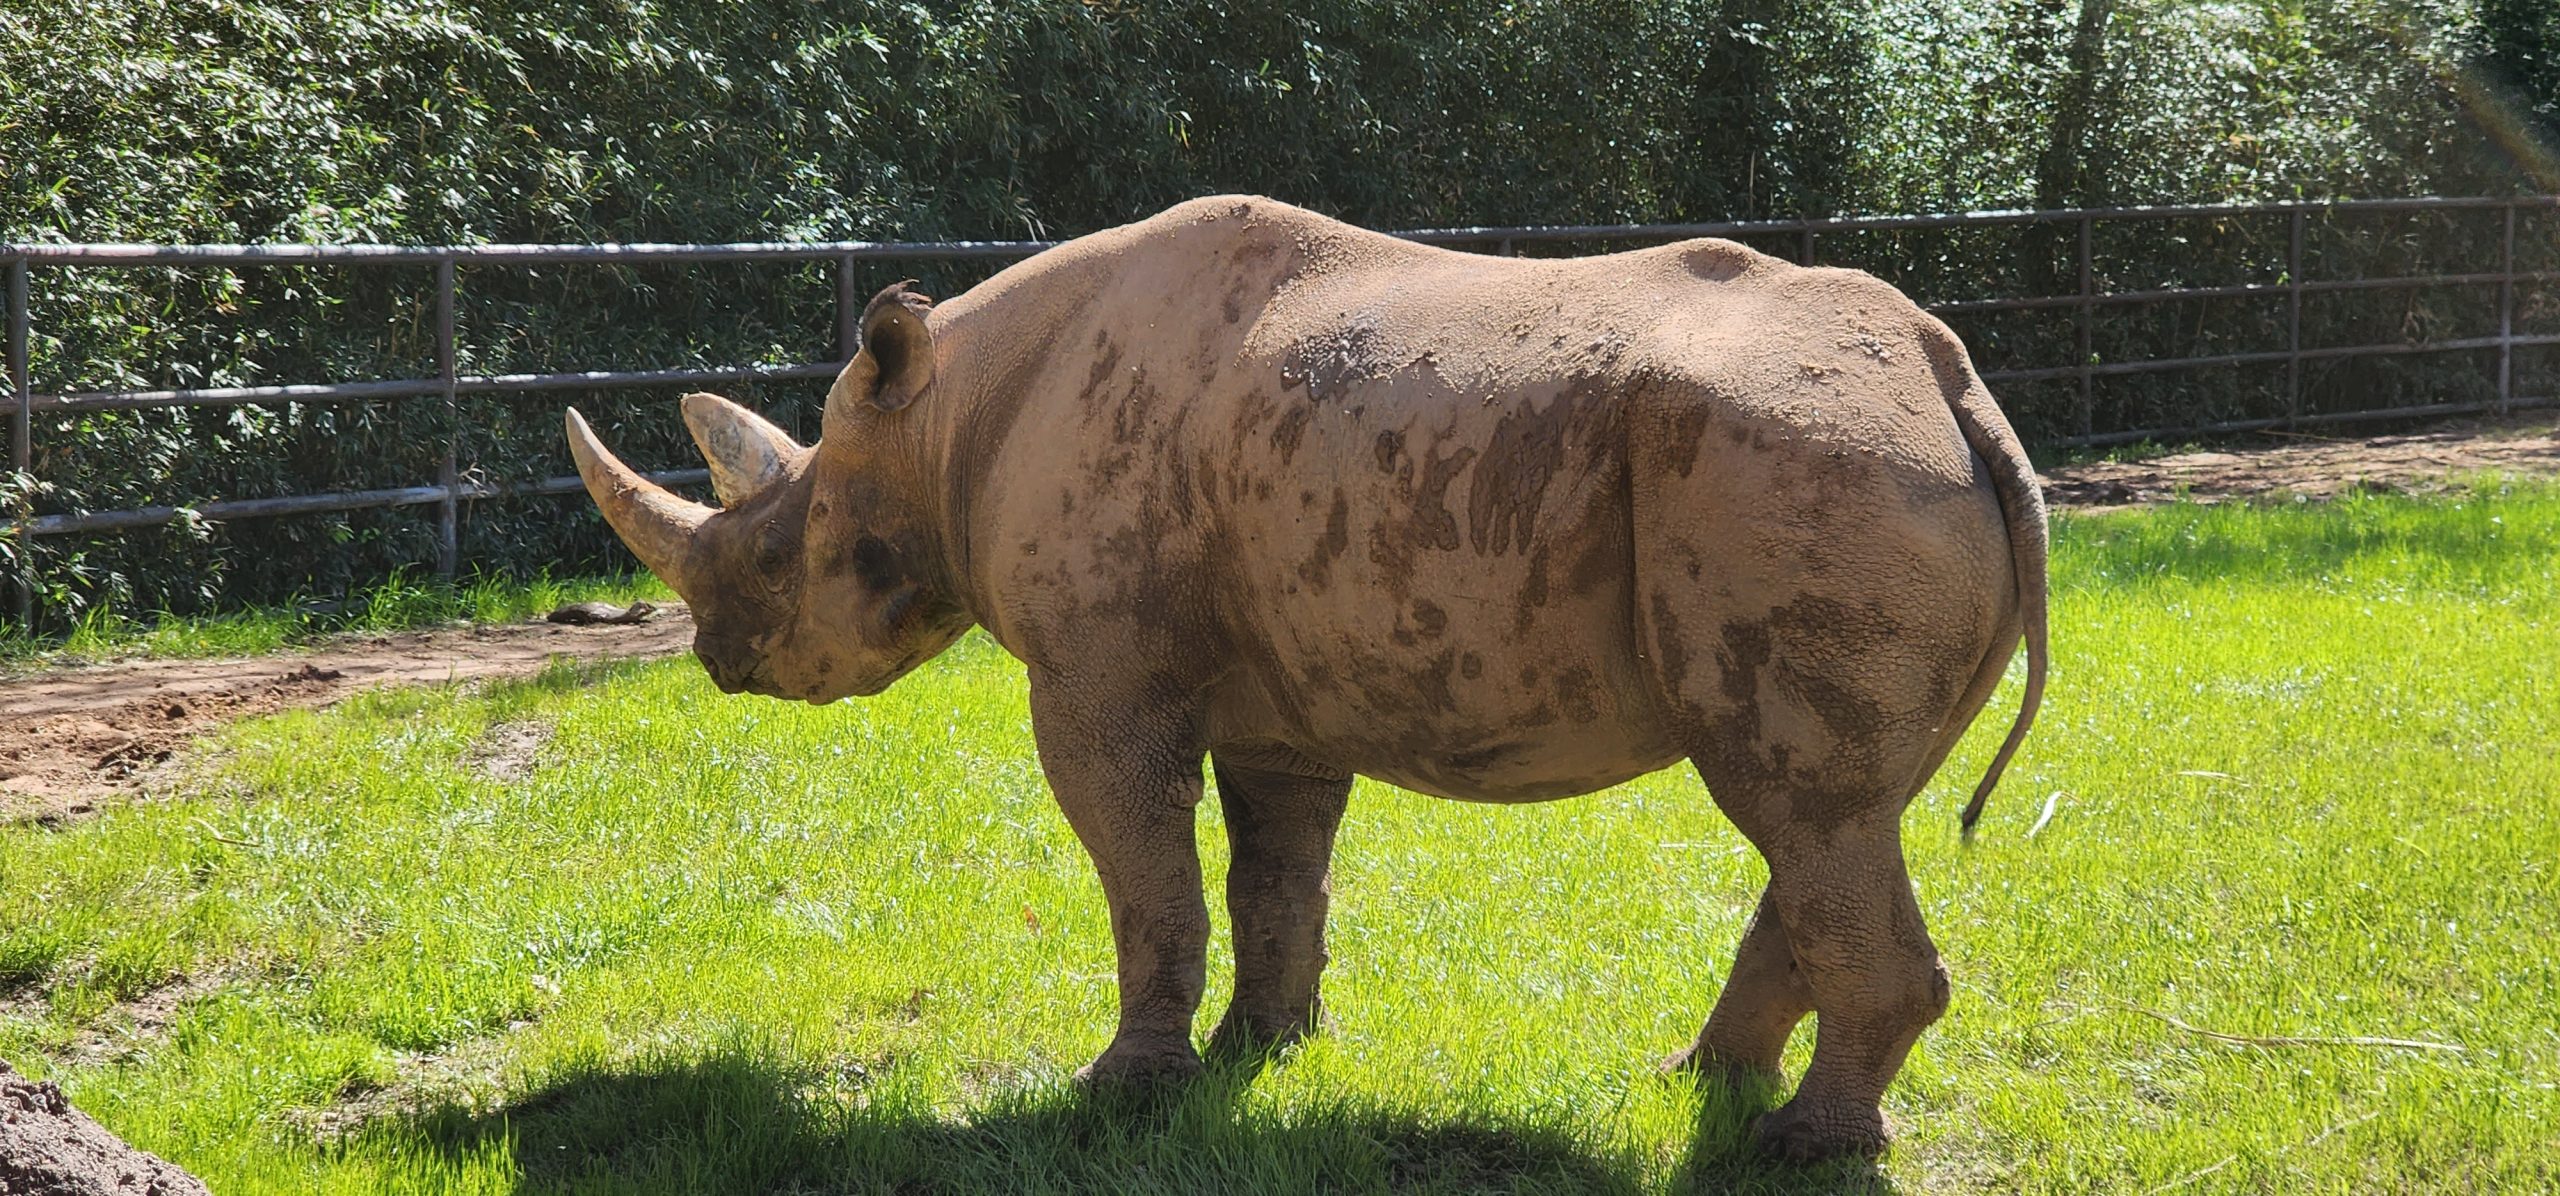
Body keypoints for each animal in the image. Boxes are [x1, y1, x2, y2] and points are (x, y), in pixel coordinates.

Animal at [566, 195, 2048, 1160]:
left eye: (779, 553)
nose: (718, 659)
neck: (939, 421)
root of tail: (1951, 379)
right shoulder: (1283, 688)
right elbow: (1270, 871)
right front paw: (1260, 1054)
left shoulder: (1098, 679)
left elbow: (1145, 877)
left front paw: (1121, 1096)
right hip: (1846, 467)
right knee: (1835, 817)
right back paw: (1702, 1084)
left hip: (1806, 466)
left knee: (1801, 803)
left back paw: (1804, 1149)